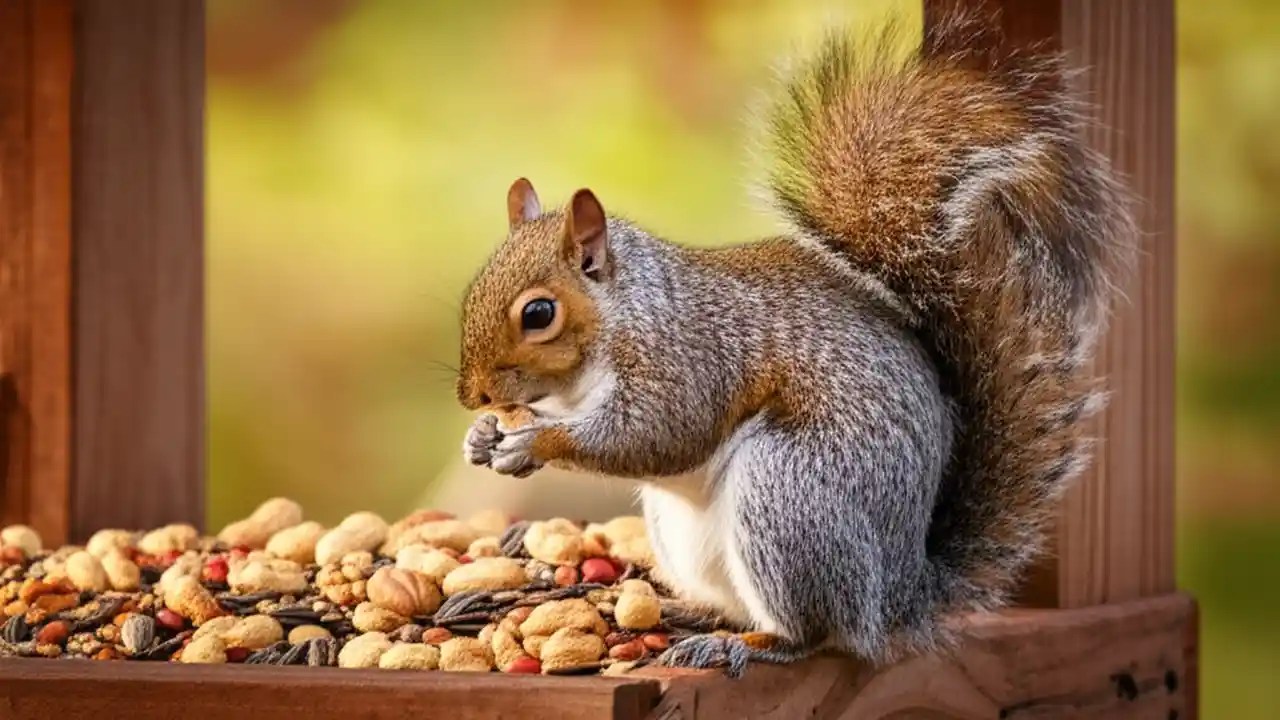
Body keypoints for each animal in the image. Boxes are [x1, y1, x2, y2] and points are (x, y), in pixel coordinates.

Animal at [455, 10, 1133, 675]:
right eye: (474, 285)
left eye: (539, 313)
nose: (471, 395)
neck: (622, 319)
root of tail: (896, 600)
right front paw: (483, 436)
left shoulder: (691, 355)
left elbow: (658, 433)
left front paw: (535, 441)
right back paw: (689, 613)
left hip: (790, 496)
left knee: (815, 633)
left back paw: (748, 643)